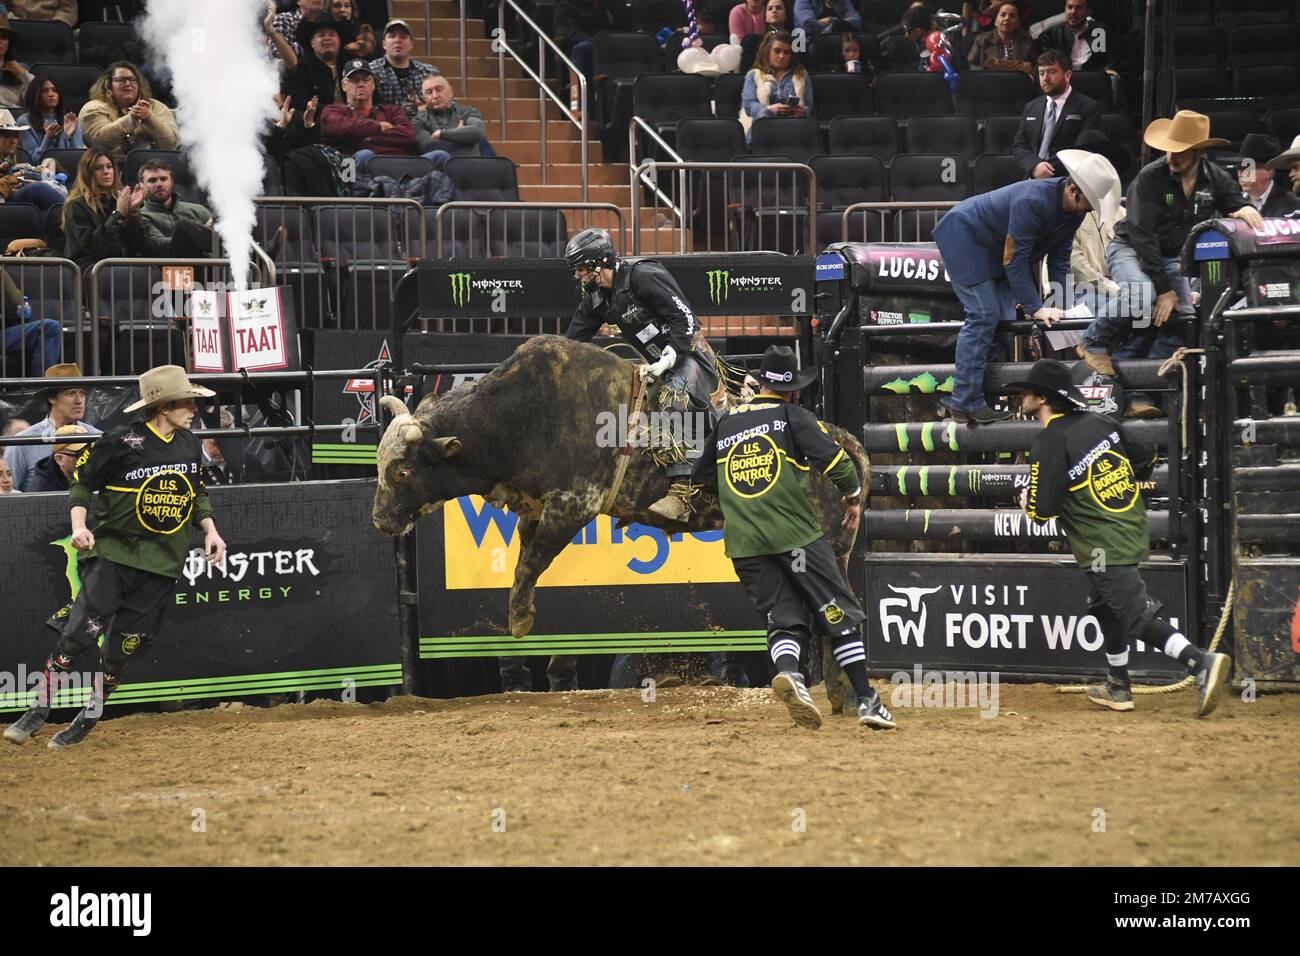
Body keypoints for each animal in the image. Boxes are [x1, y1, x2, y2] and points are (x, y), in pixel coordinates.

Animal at [372, 335, 871, 708]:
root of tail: (844, 442)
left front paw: (520, 619)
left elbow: (533, 559)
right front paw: (522, 614)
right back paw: (838, 695)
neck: (520, 415)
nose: (379, 520)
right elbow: (524, 559)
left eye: (402, 471)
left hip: (820, 546)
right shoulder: (537, 507)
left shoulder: (575, 503)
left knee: (835, 611)